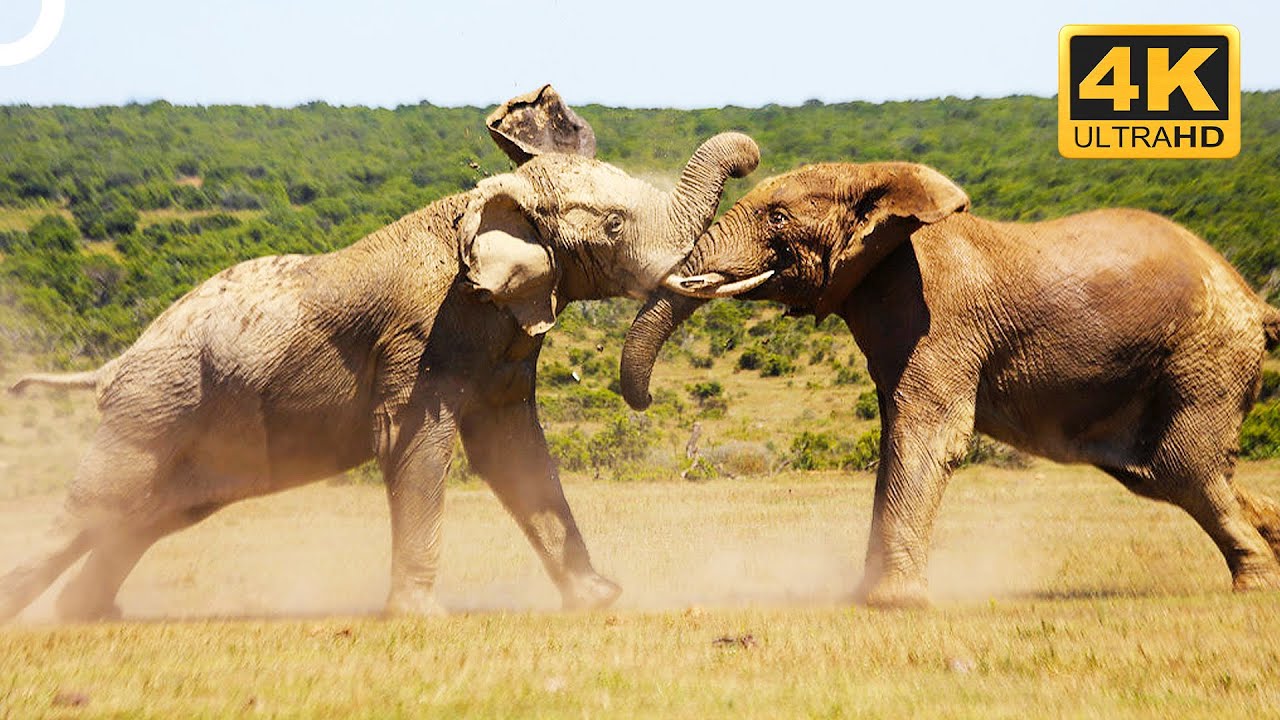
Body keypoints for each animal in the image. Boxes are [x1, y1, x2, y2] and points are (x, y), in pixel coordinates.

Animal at [0, 85, 760, 622]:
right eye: (613, 225)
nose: (751, 158)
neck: (484, 206)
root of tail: (118, 360)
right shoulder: (421, 336)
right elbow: (413, 444)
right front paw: (422, 617)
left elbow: (514, 450)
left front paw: (598, 599)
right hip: (154, 405)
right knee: (95, 504)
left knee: (146, 517)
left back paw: (89, 615)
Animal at [619, 161, 1280, 607]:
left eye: (777, 217)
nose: (644, 400)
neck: (885, 192)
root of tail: (1250, 297)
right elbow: (900, 433)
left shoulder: (938, 315)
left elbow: (925, 436)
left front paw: (891, 604)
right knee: (1161, 474)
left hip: (1204, 355)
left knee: (1180, 465)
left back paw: (1255, 582)